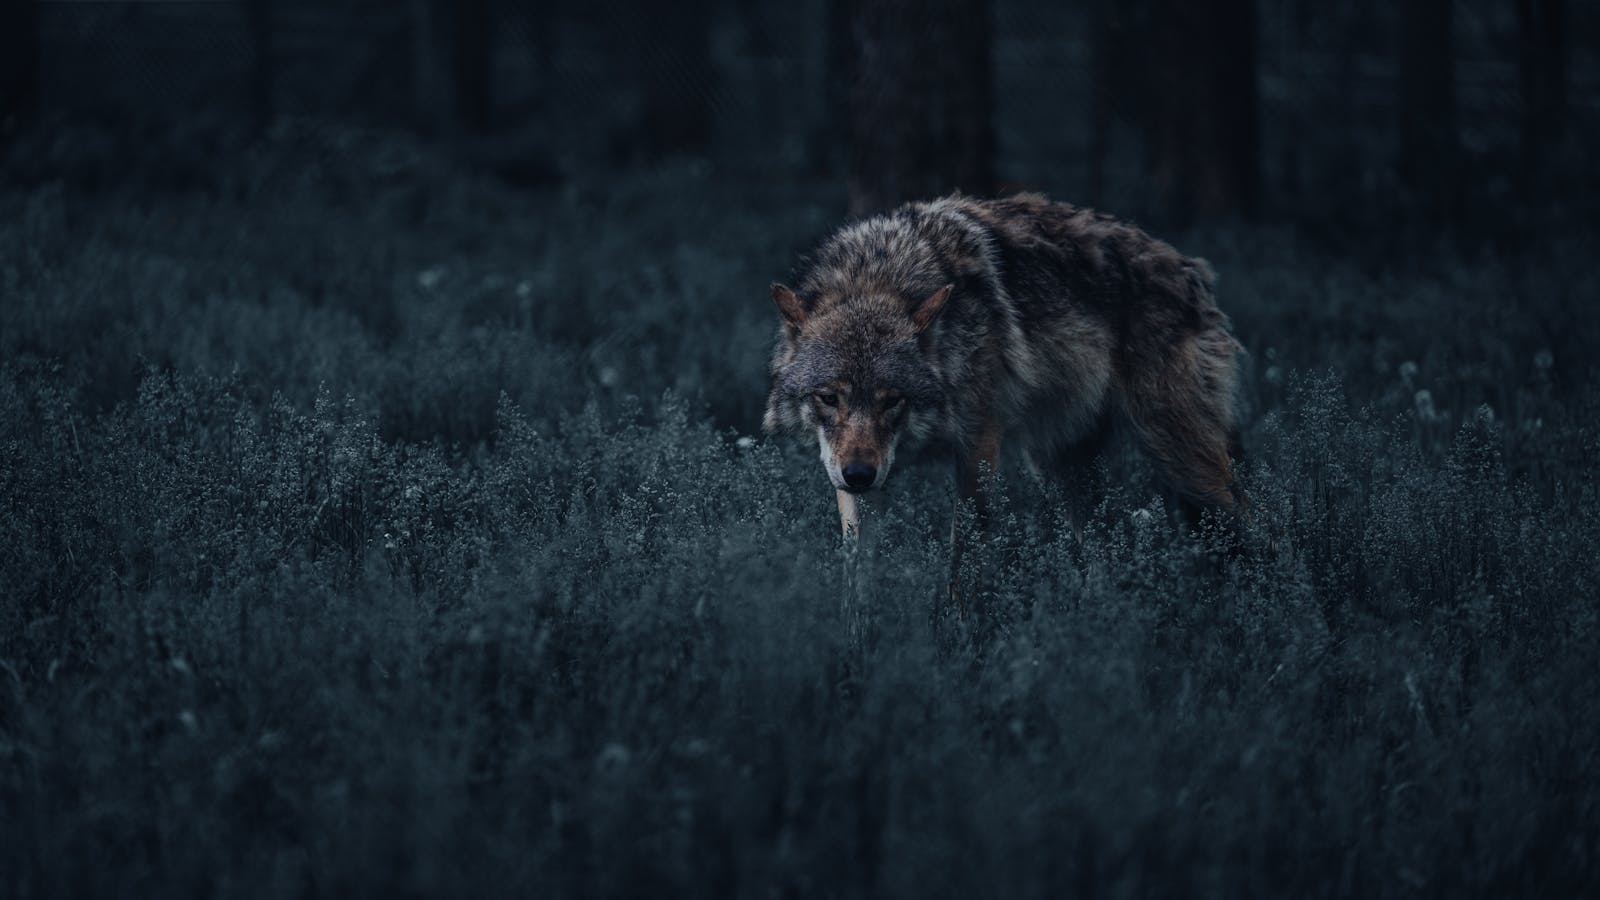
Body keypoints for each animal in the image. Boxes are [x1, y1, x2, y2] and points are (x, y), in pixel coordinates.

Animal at [763, 193, 1244, 542]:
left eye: (893, 401)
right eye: (828, 398)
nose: (859, 475)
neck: (880, 277)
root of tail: (1193, 270)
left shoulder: (979, 449)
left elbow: (963, 571)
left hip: (1185, 464)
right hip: (1061, 469)